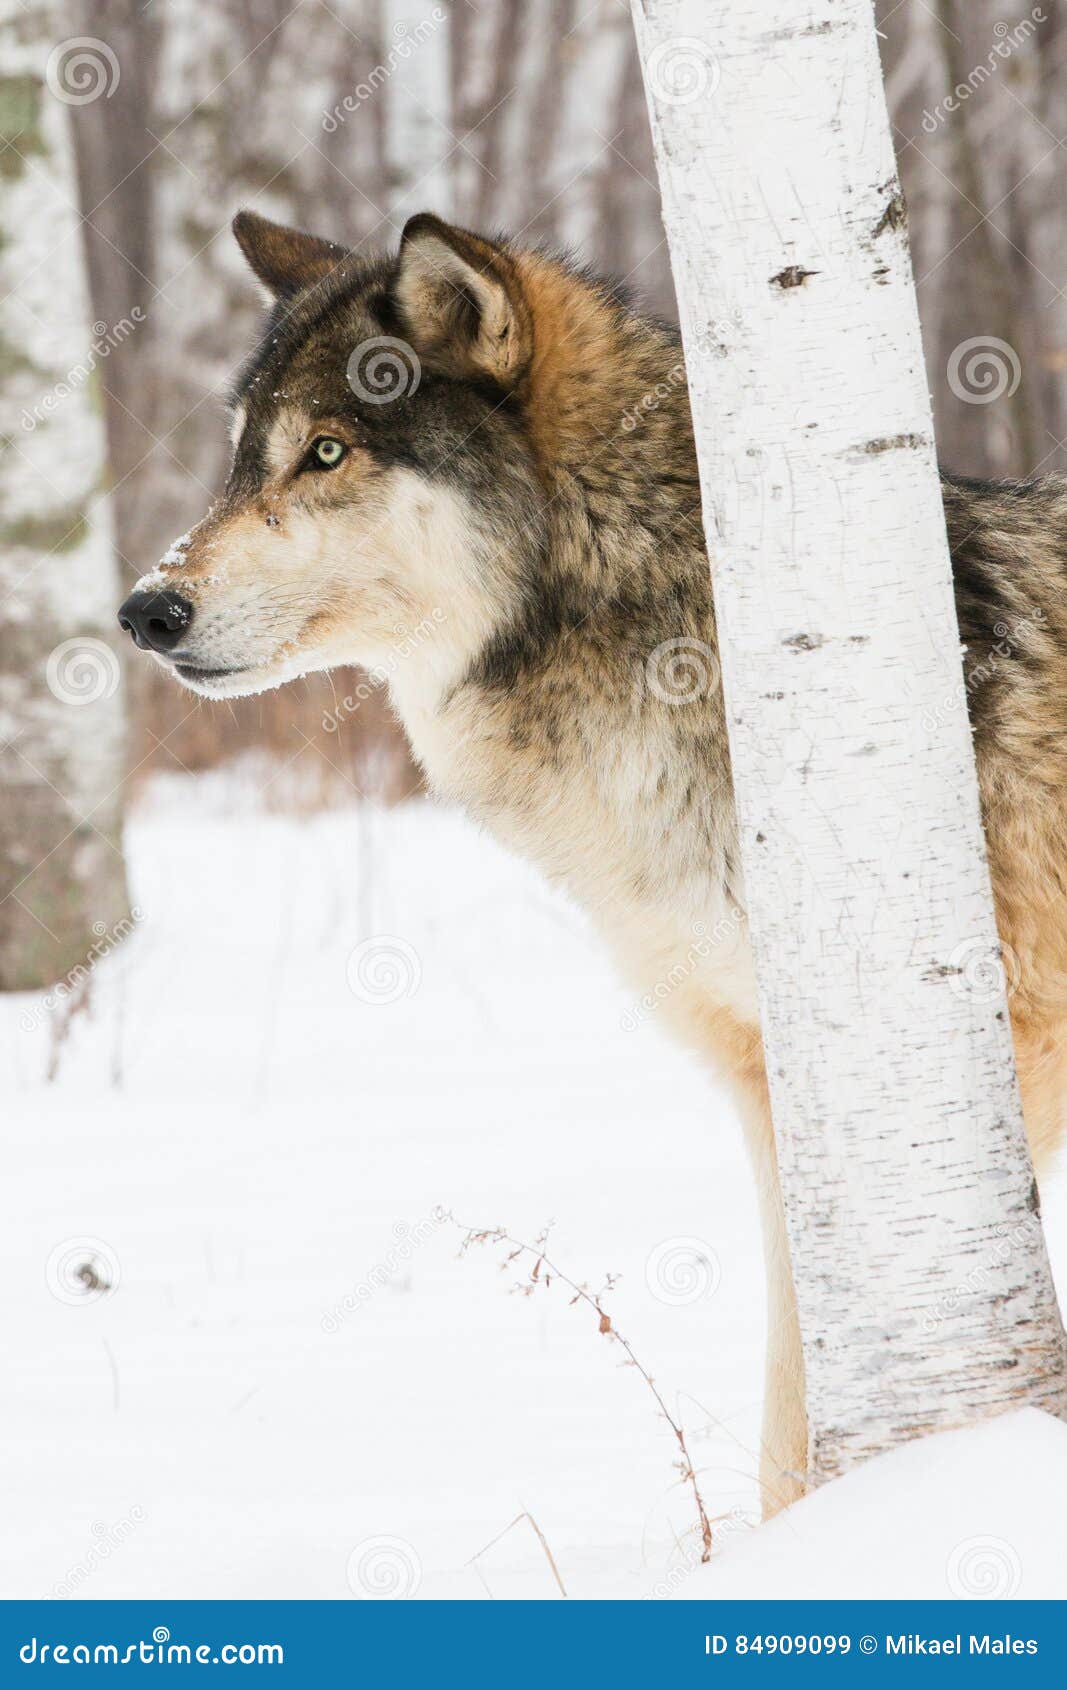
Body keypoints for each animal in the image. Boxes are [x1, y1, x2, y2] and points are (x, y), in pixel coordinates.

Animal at [118, 209, 1067, 1515]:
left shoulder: (999, 1062)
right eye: (239, 461)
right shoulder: (774, 1086)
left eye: (326, 451)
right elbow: (790, 1407)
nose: (143, 610)